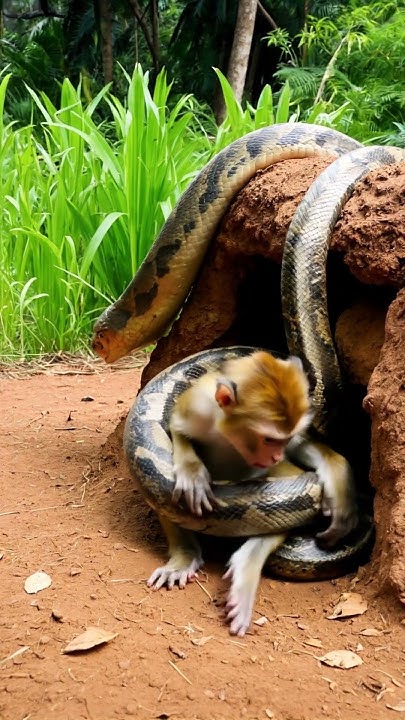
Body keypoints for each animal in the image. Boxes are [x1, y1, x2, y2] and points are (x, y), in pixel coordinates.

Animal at [147, 350, 358, 636]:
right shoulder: (196, 407)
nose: (276, 454)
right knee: (167, 501)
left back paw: (246, 568)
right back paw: (185, 556)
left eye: (283, 439)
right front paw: (191, 472)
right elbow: (176, 429)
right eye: (268, 438)